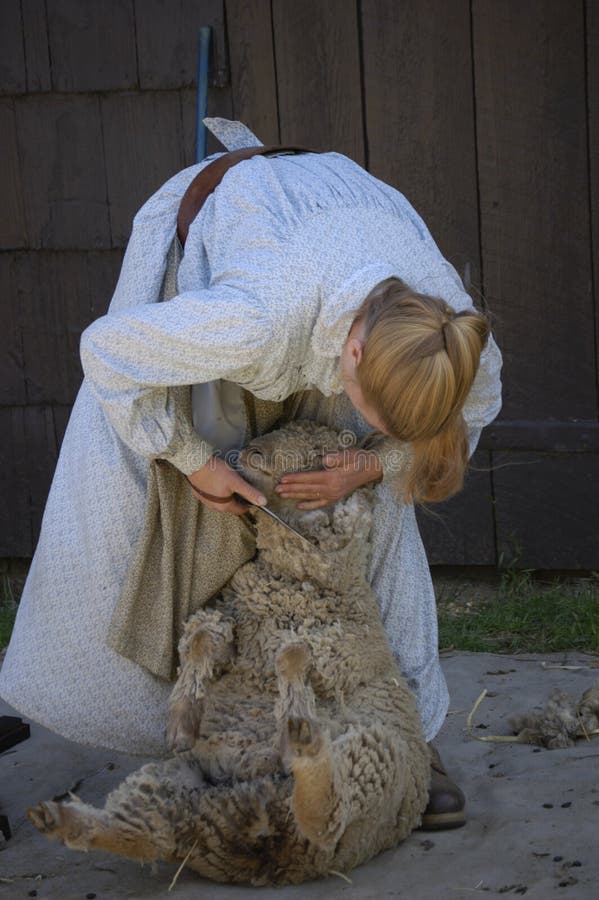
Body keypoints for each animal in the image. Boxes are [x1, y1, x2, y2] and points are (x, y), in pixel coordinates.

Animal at [27, 421, 431, 886]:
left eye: (321, 451)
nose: (254, 450)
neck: (295, 582)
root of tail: (268, 850)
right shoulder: (225, 619)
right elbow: (201, 638)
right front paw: (181, 724)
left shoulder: (341, 653)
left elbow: (310, 659)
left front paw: (287, 662)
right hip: (176, 792)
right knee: (143, 835)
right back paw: (59, 820)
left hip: (371, 761)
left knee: (326, 815)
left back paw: (299, 722)